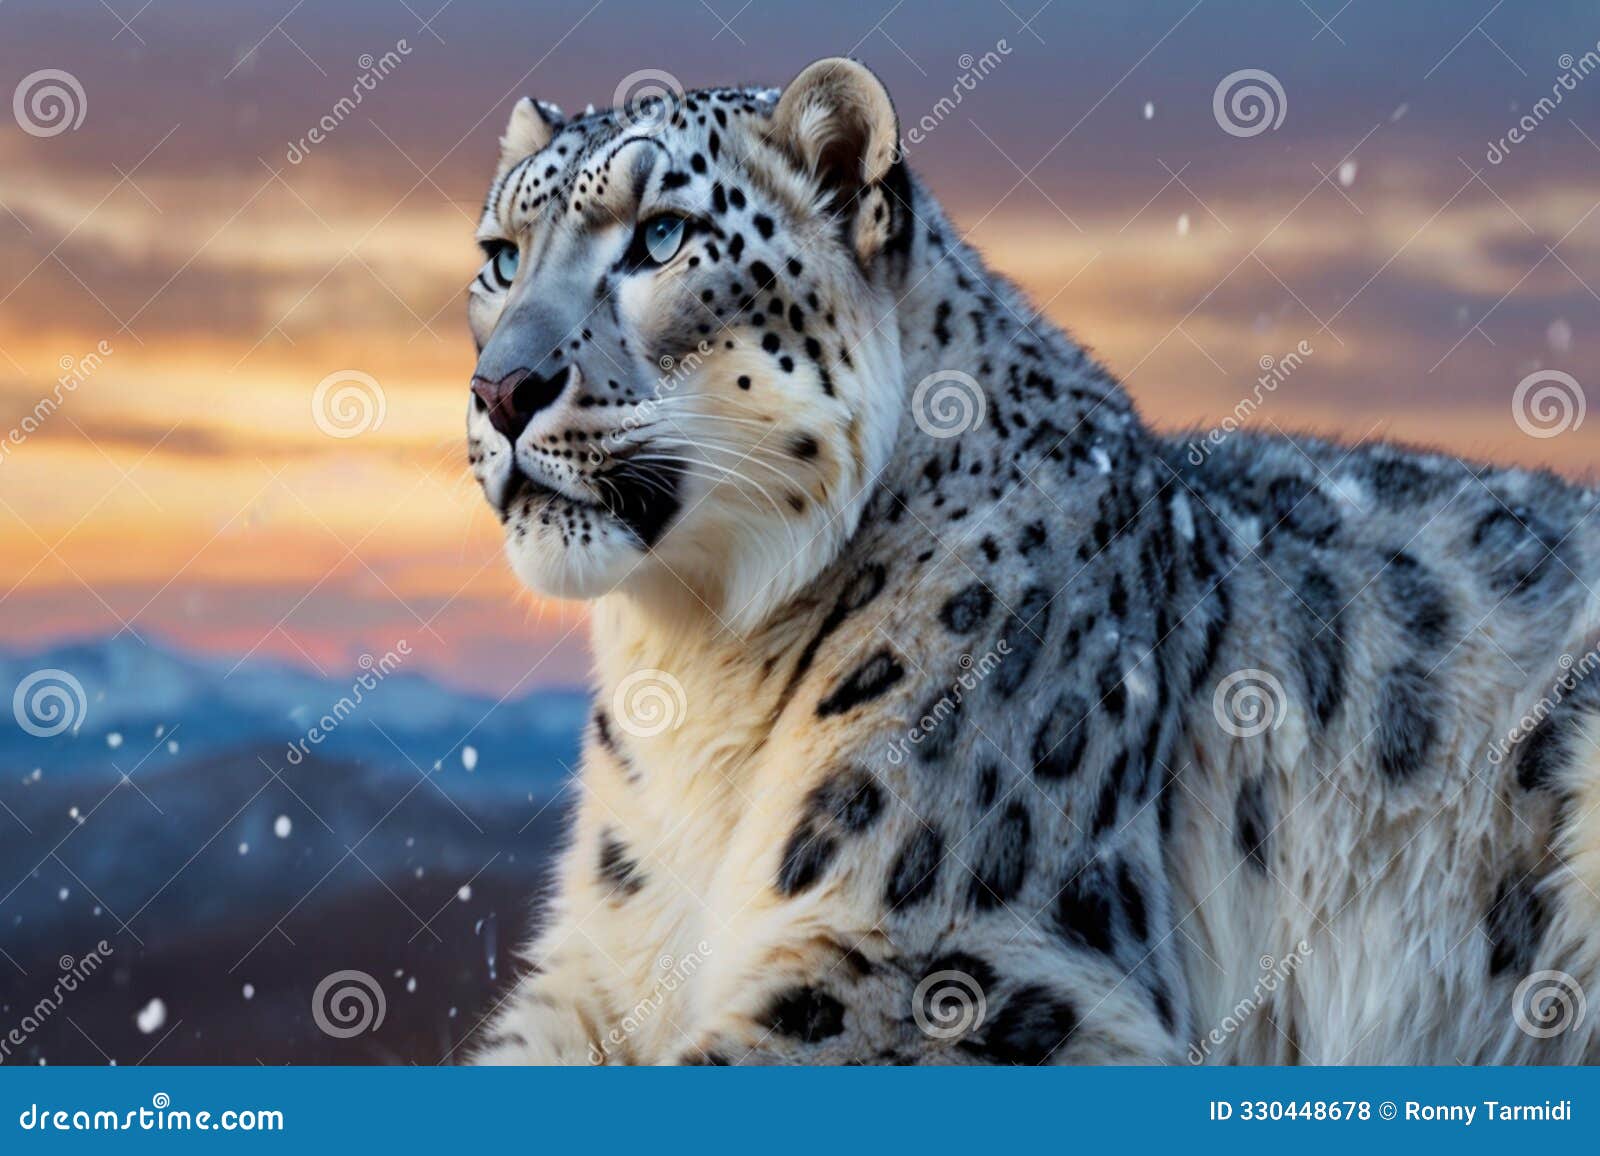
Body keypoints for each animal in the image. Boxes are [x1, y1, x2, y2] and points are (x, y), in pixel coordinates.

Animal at [462, 57, 1600, 1064]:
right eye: (502, 256)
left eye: (661, 236)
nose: (500, 389)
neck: (695, 661)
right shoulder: (601, 963)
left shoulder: (942, 962)